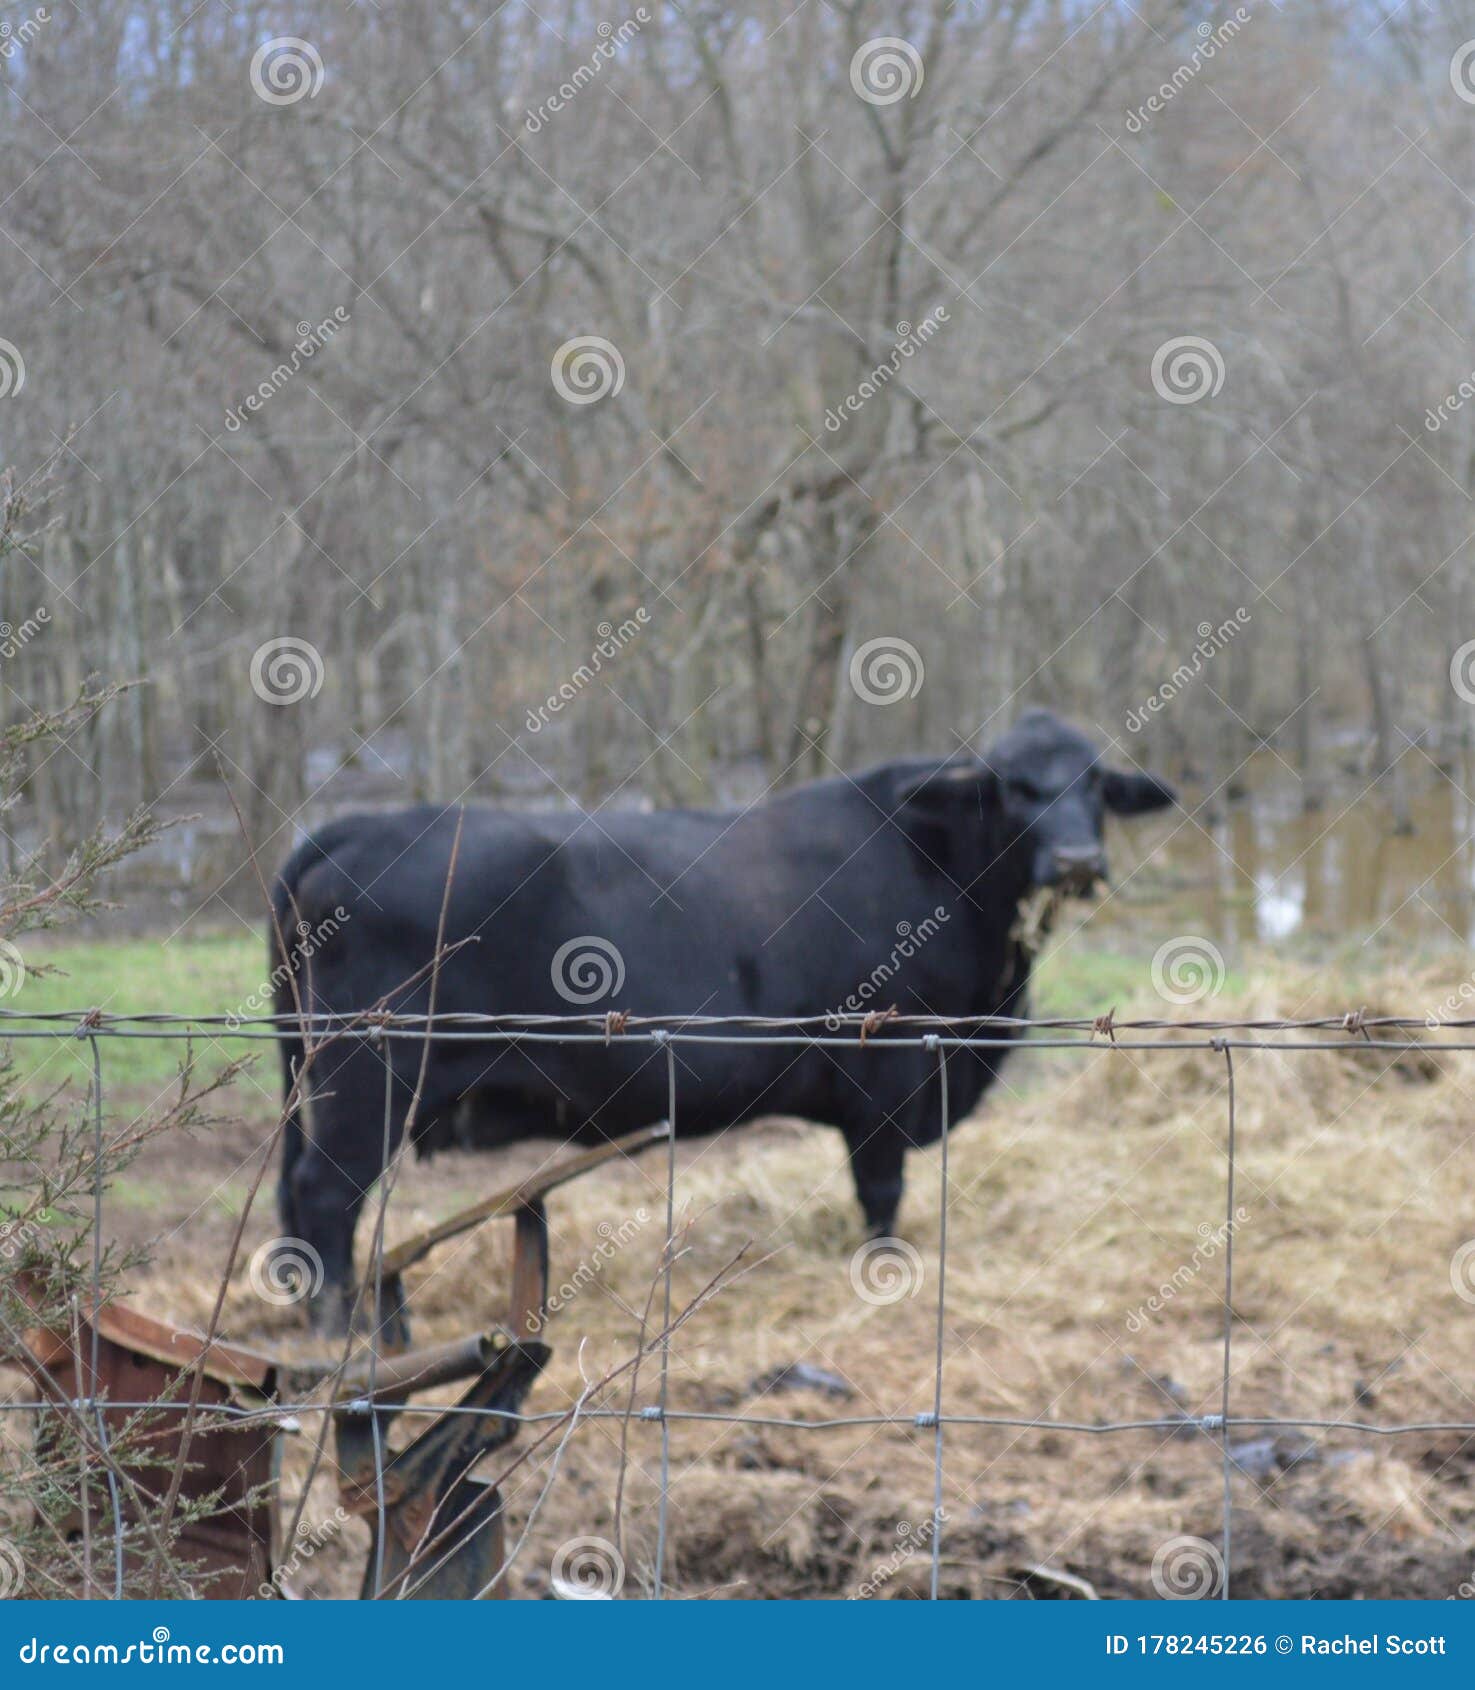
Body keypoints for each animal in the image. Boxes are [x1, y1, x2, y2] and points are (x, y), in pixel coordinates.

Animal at [268, 708, 1174, 1332]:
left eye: (1095, 785)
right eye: (1014, 787)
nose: (1077, 862)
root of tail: (350, 827)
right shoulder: (885, 1069)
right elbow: (880, 1191)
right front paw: (883, 1273)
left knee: (291, 1191)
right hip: (368, 1079)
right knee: (325, 1192)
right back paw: (339, 1327)